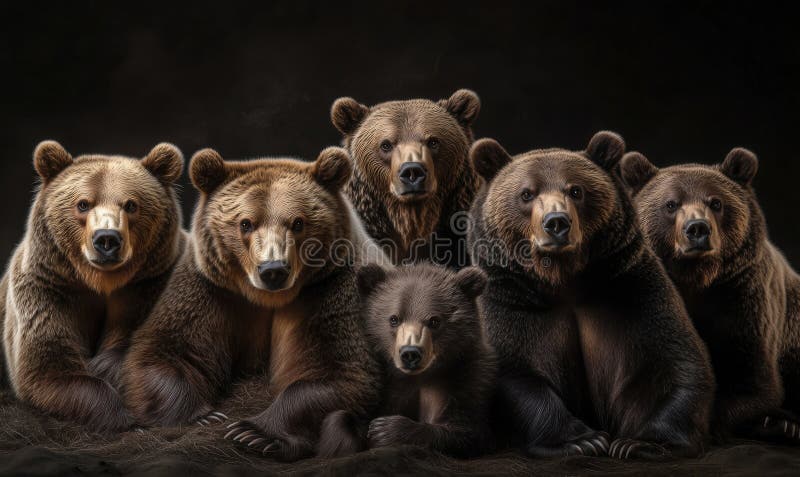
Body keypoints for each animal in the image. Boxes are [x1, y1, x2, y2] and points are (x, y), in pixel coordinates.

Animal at [1, 140, 185, 432]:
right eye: (83, 204)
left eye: (131, 205)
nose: (107, 239)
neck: (100, 281)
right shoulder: (47, 288)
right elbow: (48, 367)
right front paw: (122, 415)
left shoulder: (150, 284)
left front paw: (106, 367)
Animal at [121, 146, 382, 462]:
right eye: (245, 223)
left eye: (298, 222)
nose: (273, 269)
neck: (267, 298)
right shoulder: (209, 289)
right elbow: (167, 351)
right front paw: (204, 416)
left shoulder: (334, 290)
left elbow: (342, 372)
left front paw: (253, 433)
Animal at [318, 264, 496, 458]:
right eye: (394, 319)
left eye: (434, 321)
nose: (410, 353)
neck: (419, 377)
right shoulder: (385, 387)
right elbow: (343, 419)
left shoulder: (467, 380)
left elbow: (465, 432)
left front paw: (385, 430)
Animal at [467, 131, 714, 459]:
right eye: (526, 194)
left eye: (575, 190)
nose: (556, 222)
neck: (564, 280)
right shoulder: (511, 300)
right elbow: (514, 373)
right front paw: (582, 441)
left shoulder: (632, 291)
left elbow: (677, 362)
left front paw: (640, 443)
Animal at [619, 148, 800, 443]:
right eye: (671, 204)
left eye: (716, 202)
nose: (697, 228)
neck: (698, 279)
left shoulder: (746, 299)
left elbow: (754, 381)